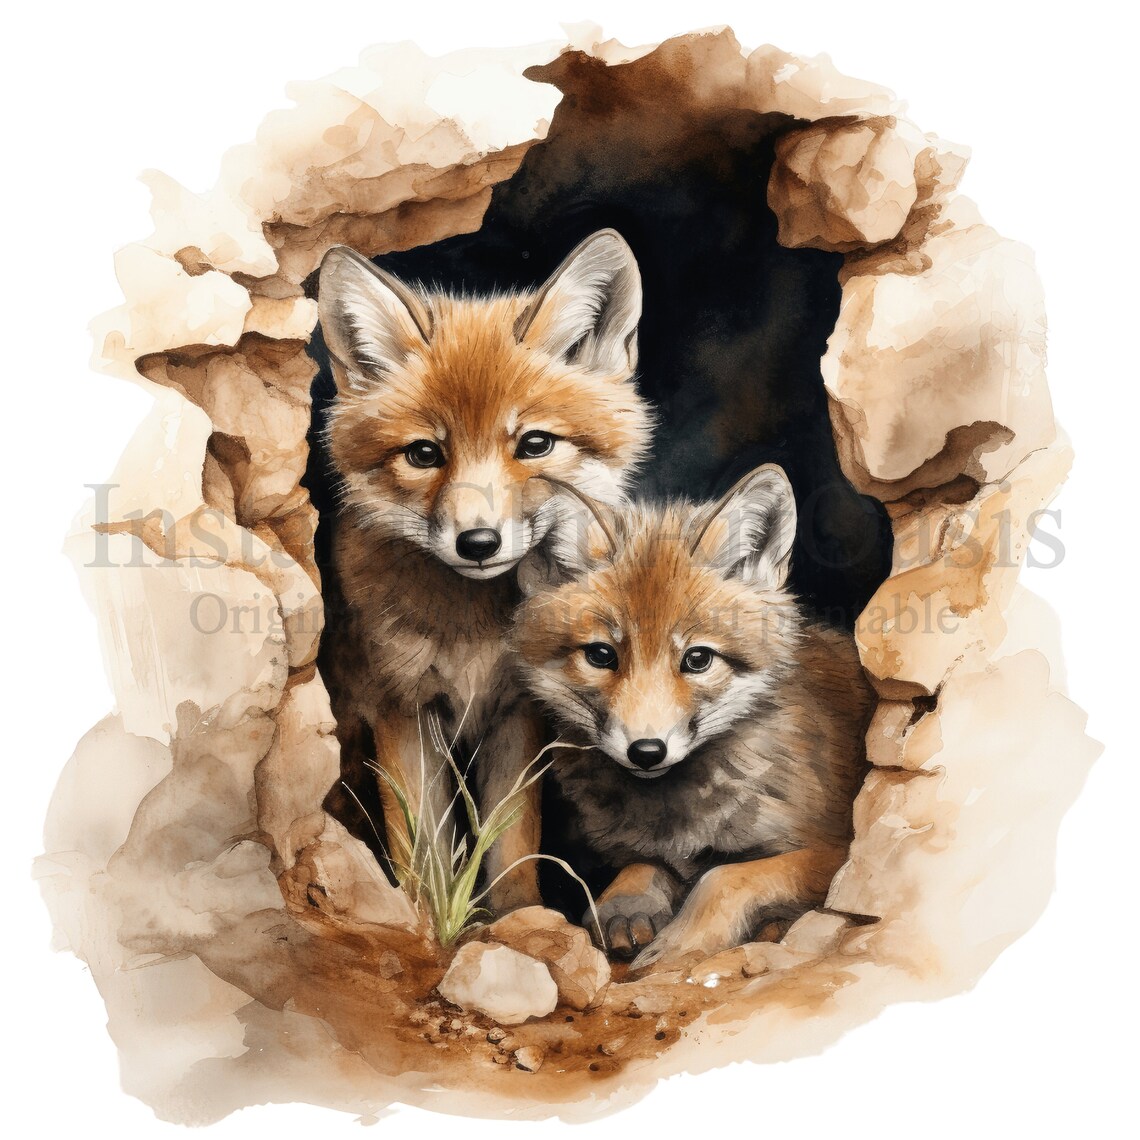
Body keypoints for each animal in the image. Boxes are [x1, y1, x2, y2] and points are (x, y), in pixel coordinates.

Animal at [317, 230, 653, 911]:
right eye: (424, 453)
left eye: (534, 444)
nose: (477, 542)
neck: (472, 632)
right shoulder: (402, 710)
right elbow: (424, 852)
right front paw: (427, 922)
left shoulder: (518, 712)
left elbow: (511, 841)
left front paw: (521, 918)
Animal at [511, 464, 874, 965]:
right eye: (601, 655)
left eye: (698, 659)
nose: (646, 751)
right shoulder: (648, 851)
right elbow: (642, 868)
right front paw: (624, 907)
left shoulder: (838, 852)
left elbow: (725, 878)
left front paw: (681, 943)